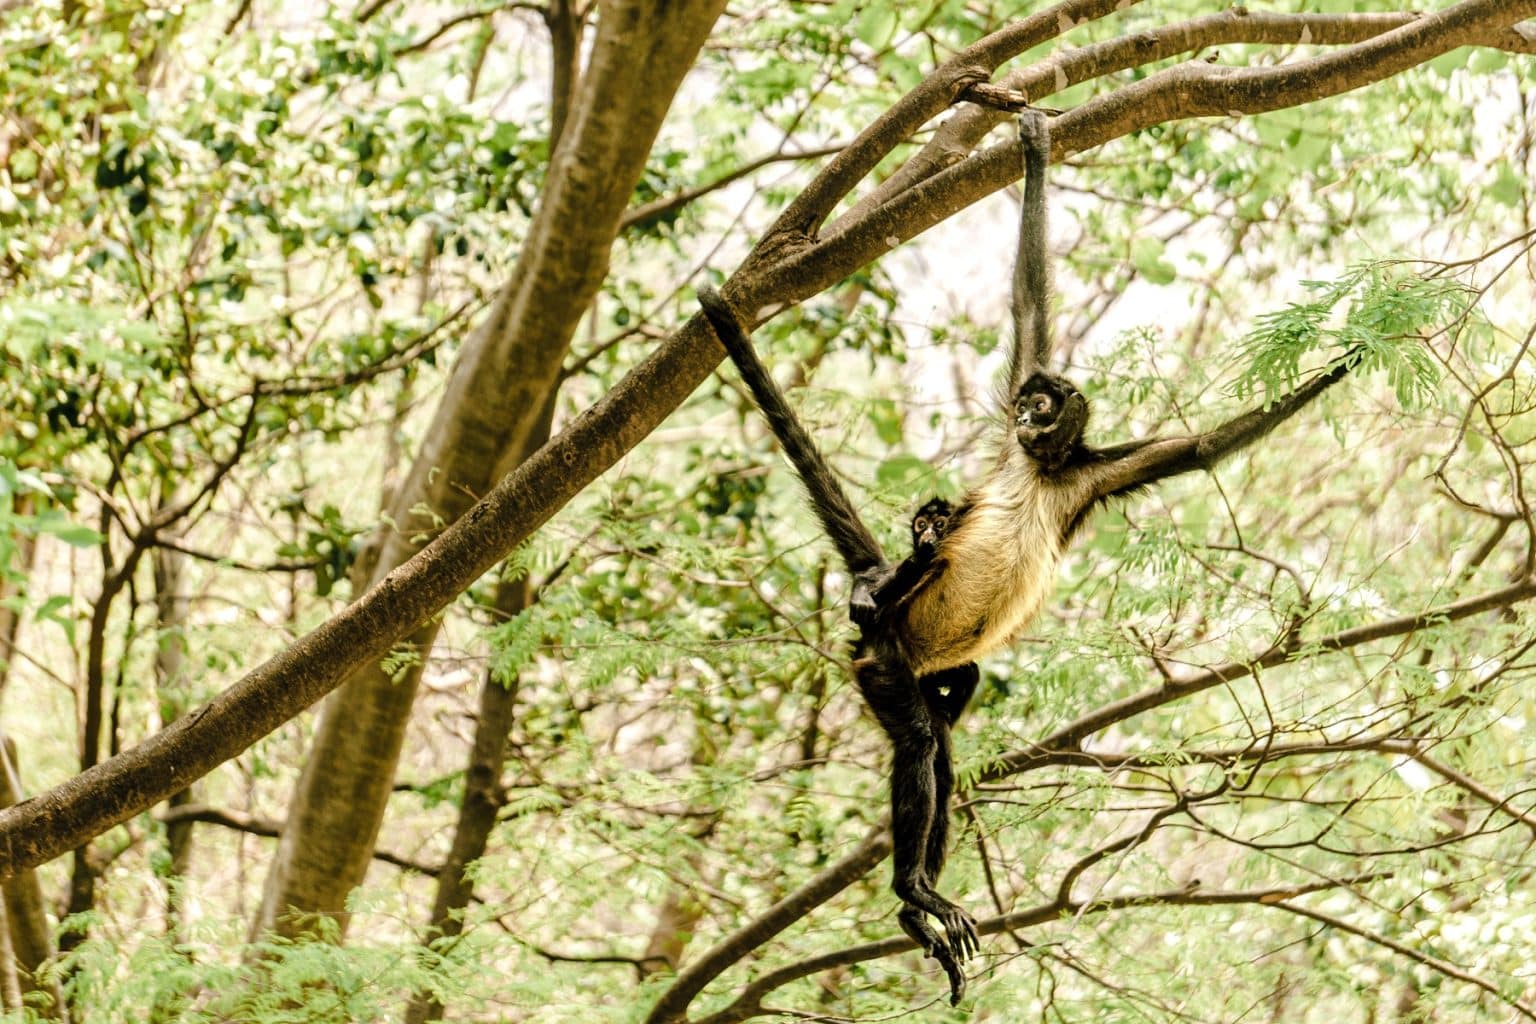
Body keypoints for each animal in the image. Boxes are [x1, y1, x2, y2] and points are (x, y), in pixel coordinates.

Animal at [697, 108, 1357, 1003]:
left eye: (1045, 406)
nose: (1024, 416)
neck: (1044, 469)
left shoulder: (1090, 471)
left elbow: (1202, 447)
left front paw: (1334, 368)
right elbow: (1029, 298)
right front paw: (1035, 150)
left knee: (941, 750)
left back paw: (913, 905)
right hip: (883, 663)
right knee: (919, 744)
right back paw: (912, 890)